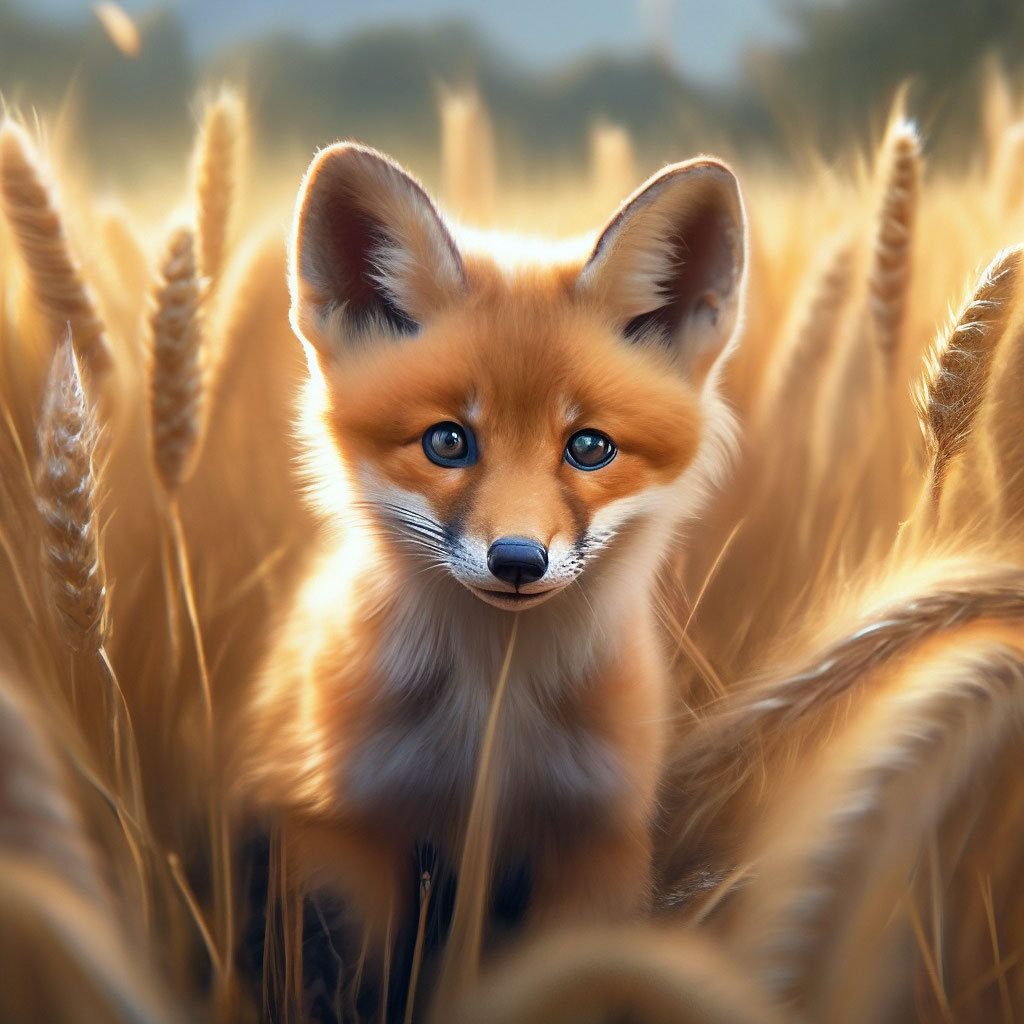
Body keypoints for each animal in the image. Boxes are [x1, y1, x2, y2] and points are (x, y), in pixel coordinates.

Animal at [236, 141, 747, 957]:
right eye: (448, 442)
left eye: (589, 448)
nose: (515, 560)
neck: (492, 715)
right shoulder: (345, 829)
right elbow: (361, 972)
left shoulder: (598, 838)